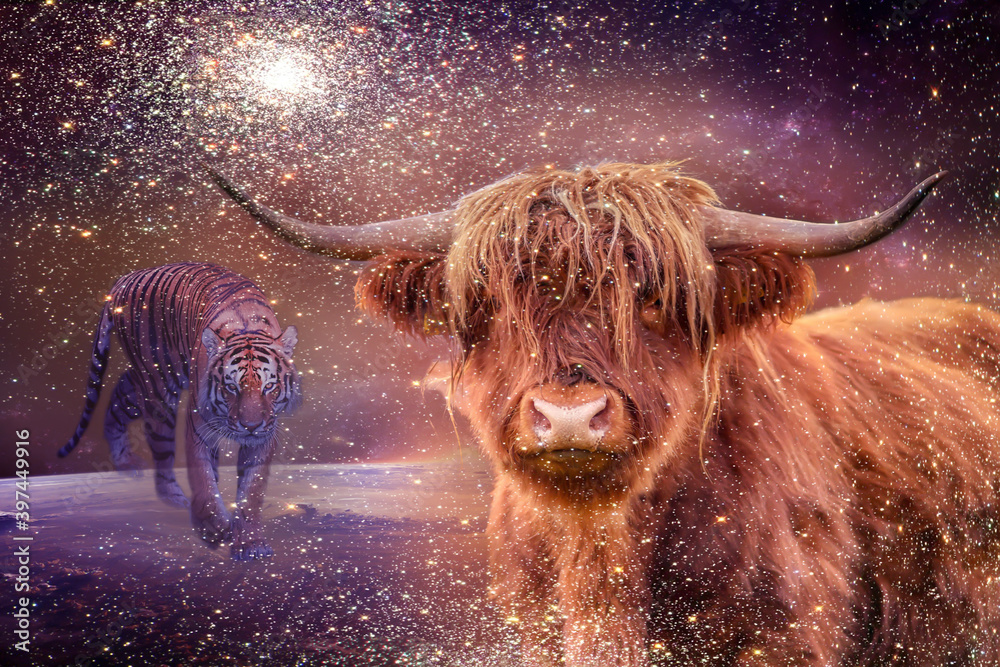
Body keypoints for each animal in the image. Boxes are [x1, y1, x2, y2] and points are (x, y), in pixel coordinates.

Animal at [60, 262, 300, 560]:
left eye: (269, 386)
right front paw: (214, 527)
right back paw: (174, 496)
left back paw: (125, 462)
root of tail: (125, 278)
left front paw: (250, 543)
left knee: (118, 398)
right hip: (159, 384)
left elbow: (251, 491)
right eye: (231, 387)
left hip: (150, 379)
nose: (250, 426)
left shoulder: (263, 439)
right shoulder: (200, 429)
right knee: (161, 450)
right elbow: (203, 478)